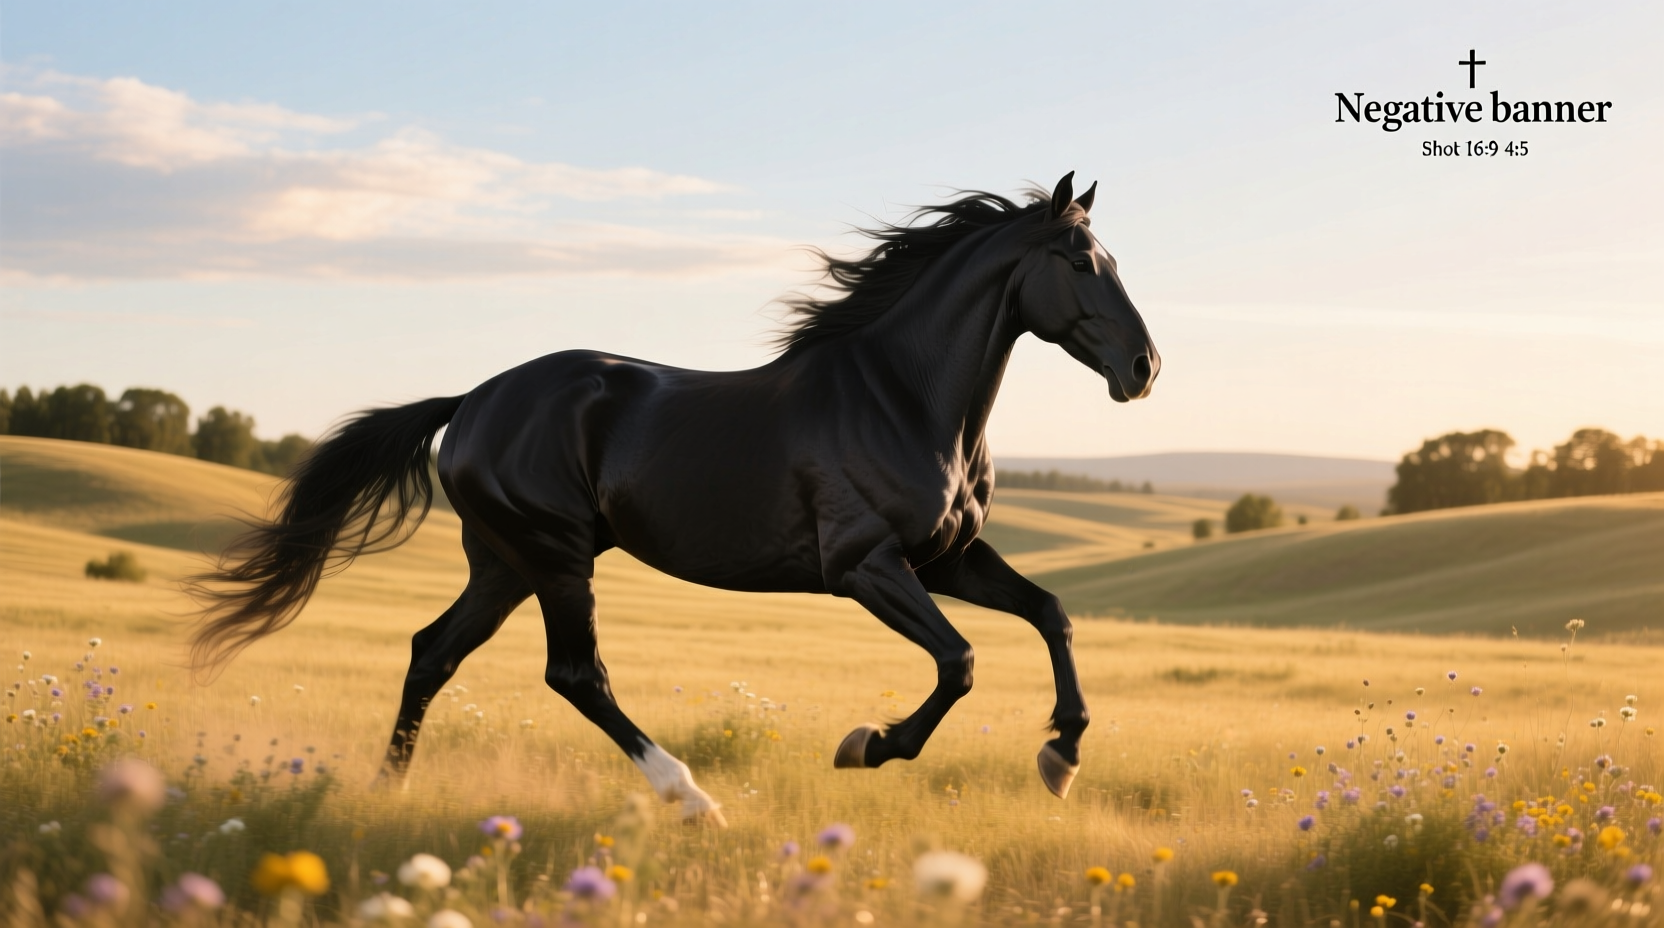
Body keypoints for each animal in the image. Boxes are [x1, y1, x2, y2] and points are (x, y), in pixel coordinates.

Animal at [189, 172, 1160, 824]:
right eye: (1080, 261)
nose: (1144, 369)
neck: (902, 399)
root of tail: (469, 403)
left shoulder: (947, 559)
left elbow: (1052, 613)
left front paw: (1061, 756)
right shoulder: (864, 566)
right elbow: (959, 662)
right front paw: (868, 745)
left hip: (504, 563)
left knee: (433, 653)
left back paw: (388, 789)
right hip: (555, 557)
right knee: (575, 674)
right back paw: (692, 799)